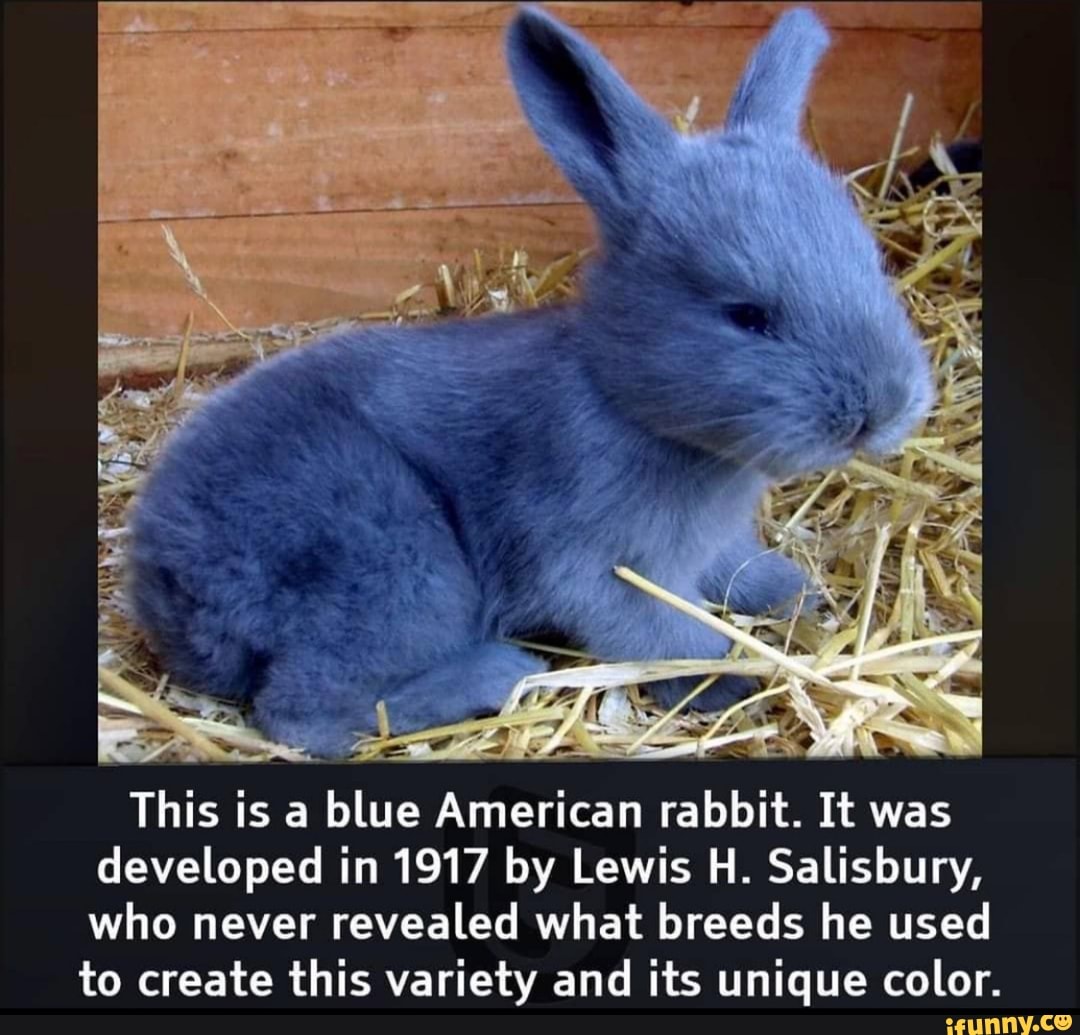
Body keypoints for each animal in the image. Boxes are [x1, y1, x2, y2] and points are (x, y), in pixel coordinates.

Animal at [127, 4, 934, 759]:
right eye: (746, 314)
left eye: (870, 263)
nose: (881, 408)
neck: (623, 399)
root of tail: (166, 582)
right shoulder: (599, 567)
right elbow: (659, 632)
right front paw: (726, 675)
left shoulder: (710, 547)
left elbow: (738, 571)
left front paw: (798, 593)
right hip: (398, 569)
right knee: (308, 710)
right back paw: (499, 673)